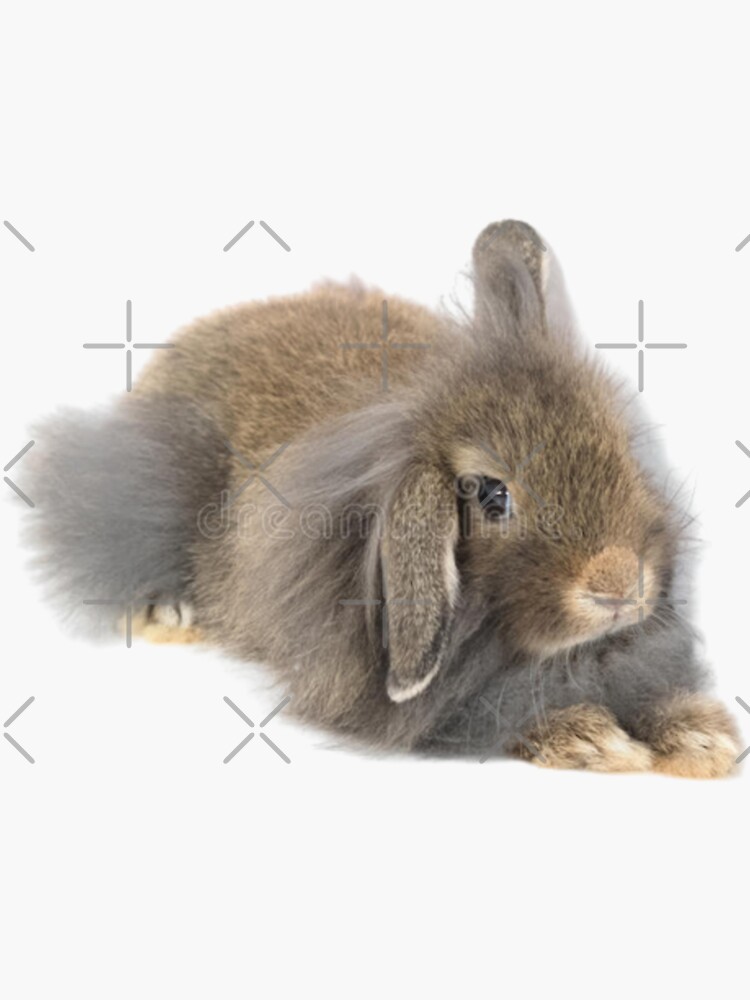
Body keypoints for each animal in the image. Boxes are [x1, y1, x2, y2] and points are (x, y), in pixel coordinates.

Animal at [25, 219, 741, 777]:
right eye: (493, 495)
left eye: (623, 453)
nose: (618, 585)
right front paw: (593, 739)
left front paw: (703, 736)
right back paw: (169, 612)